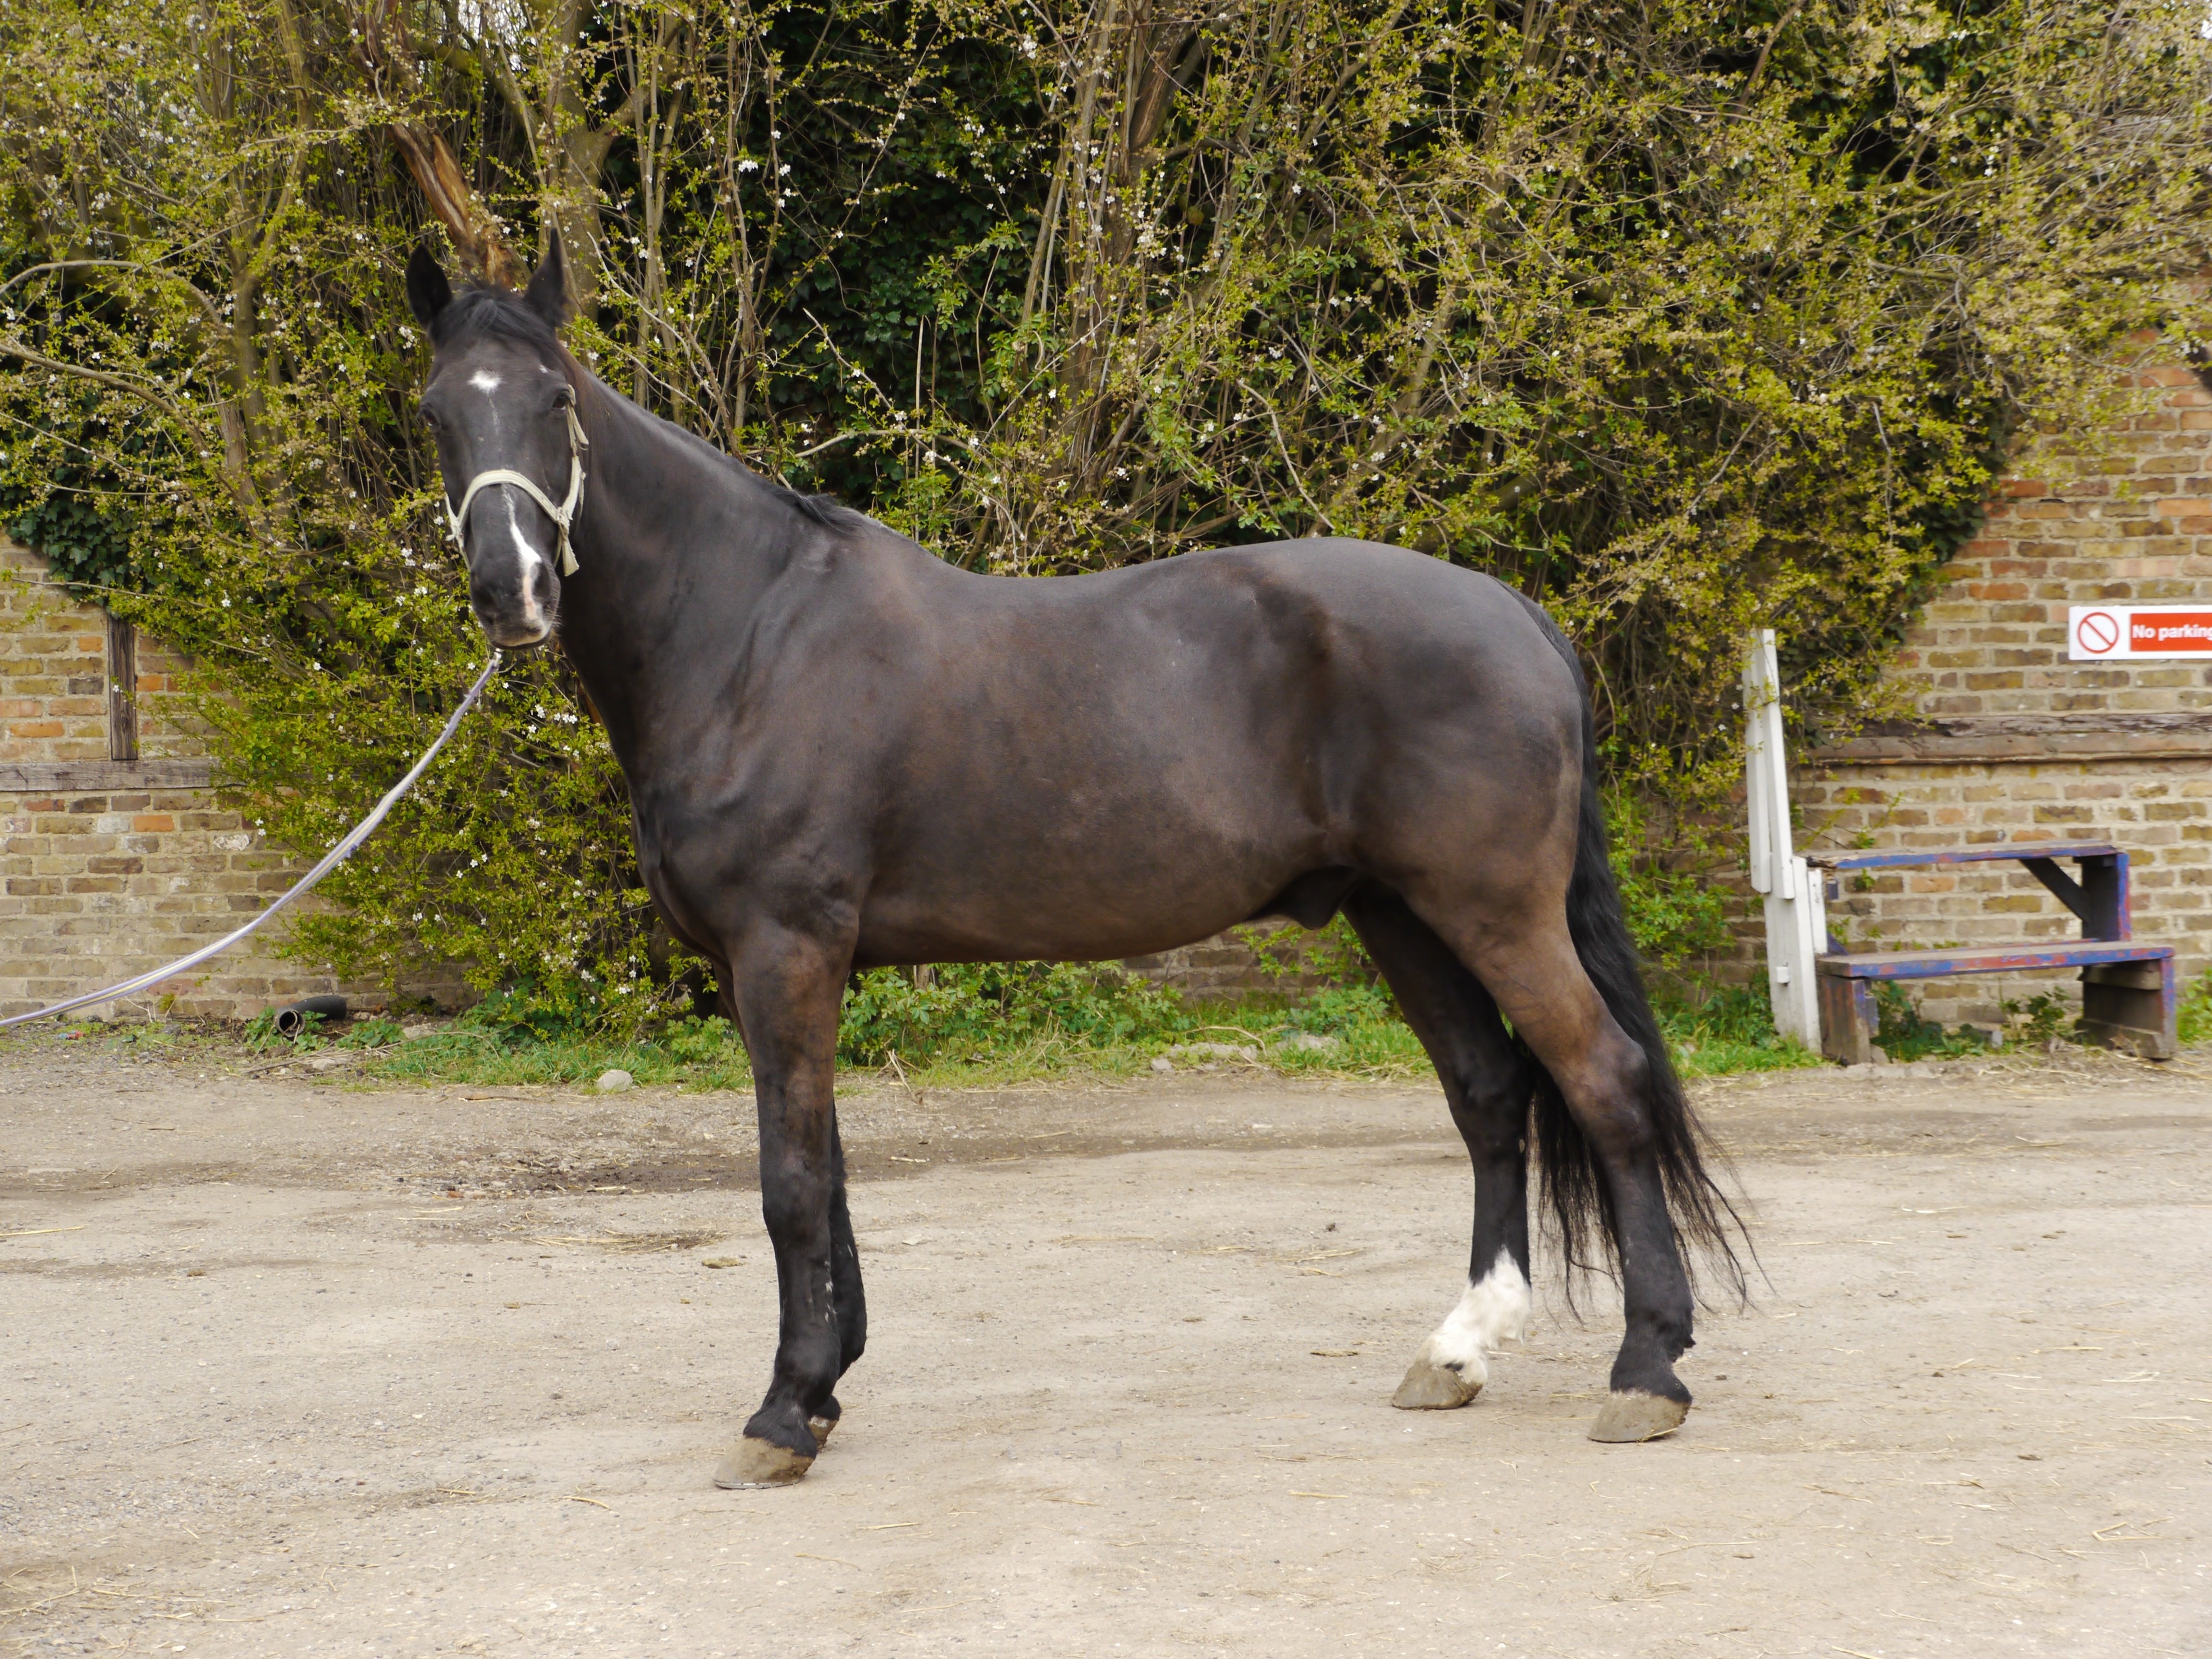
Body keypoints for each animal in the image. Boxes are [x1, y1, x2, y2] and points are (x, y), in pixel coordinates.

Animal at [405, 238, 1742, 1488]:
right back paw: (1458, 1350)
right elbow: (826, 1174)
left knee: (1607, 1081)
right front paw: (825, 1390)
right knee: (1491, 1095)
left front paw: (781, 1413)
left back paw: (1646, 1372)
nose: (513, 590)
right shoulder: (779, 968)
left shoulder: (785, 949)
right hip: (1400, 914)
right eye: (437, 411)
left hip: (1496, 912)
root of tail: (1517, 615)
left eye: (555, 398)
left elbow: (788, 1182)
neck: (746, 637)